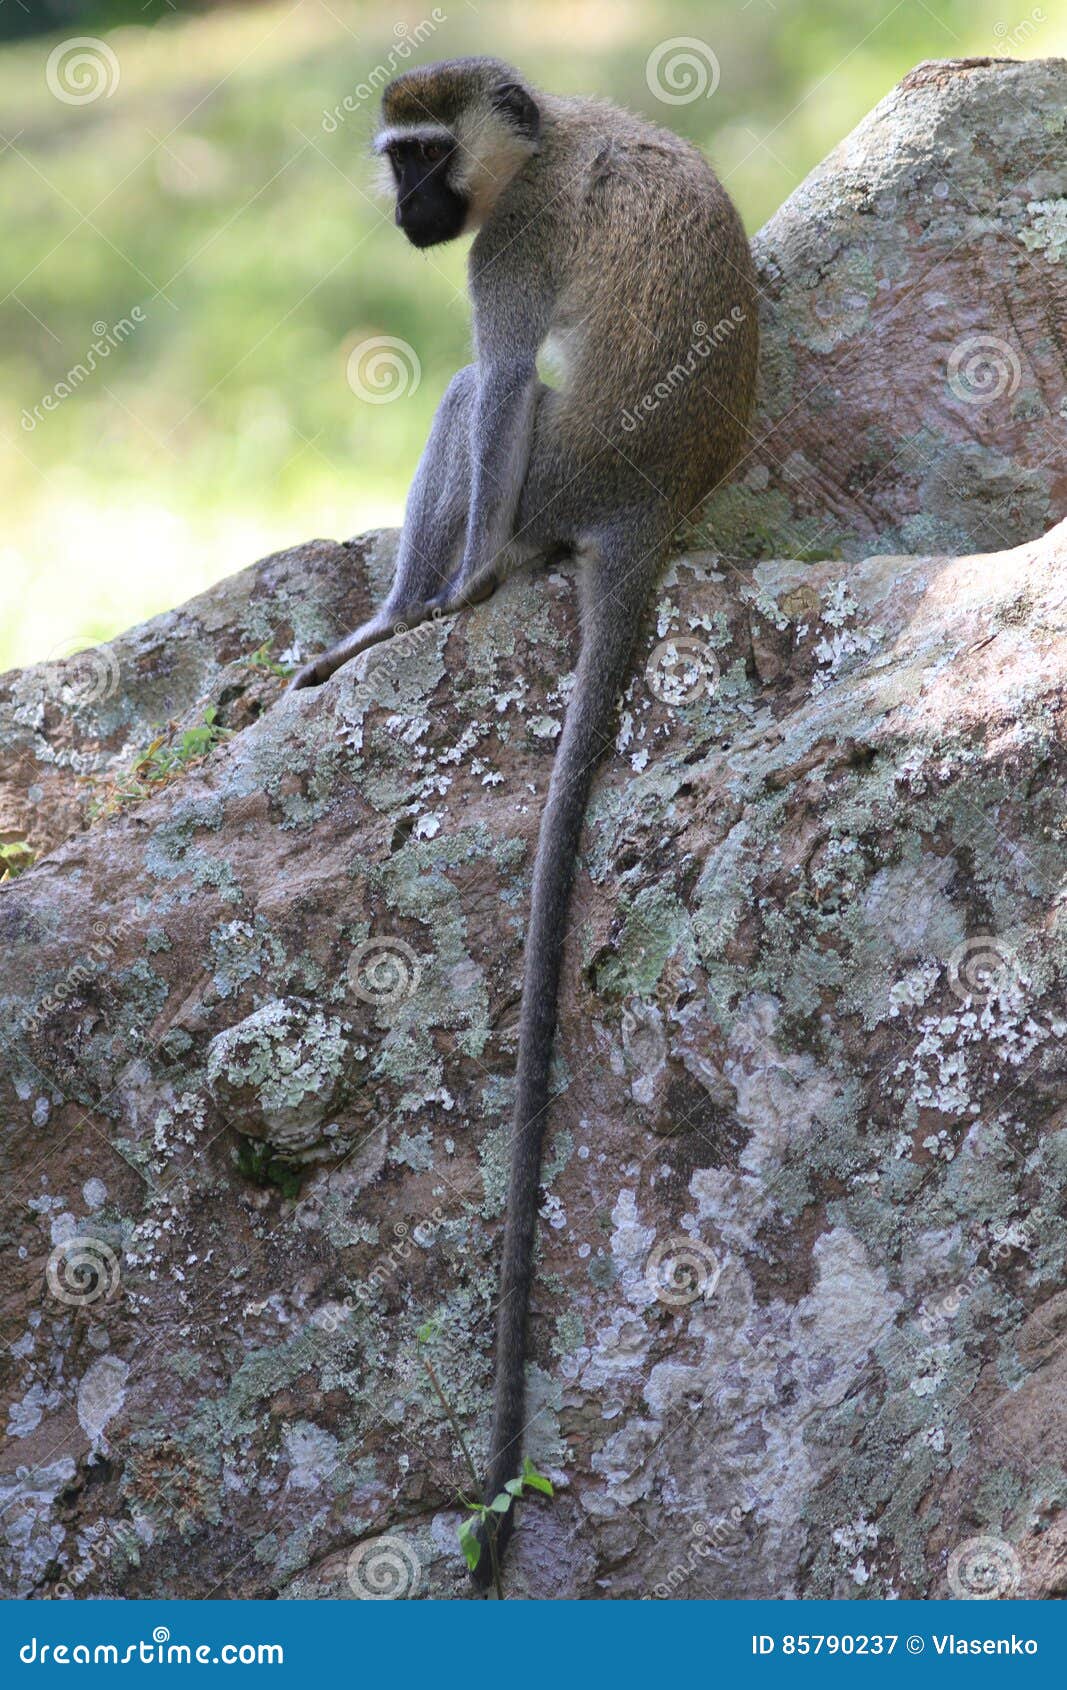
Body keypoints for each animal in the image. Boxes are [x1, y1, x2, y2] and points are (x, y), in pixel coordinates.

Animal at [288, 57, 758, 1583]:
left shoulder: (509, 247)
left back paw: (405, 609)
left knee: (470, 399)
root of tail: (647, 504)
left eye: (421, 156)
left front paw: (440, 597)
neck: (545, 130)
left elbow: (490, 379)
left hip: (554, 469)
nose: (401, 210)